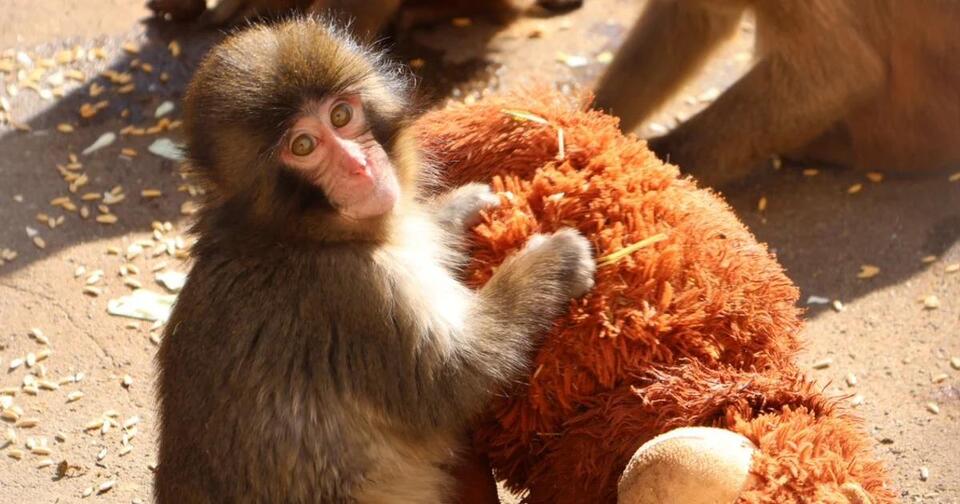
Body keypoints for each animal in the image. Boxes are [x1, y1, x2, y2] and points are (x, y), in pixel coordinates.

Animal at [154, 17, 596, 504]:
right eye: (303, 145)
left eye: (341, 116)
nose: (359, 166)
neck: (295, 236)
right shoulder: (353, 292)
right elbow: (454, 377)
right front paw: (553, 262)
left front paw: (458, 209)